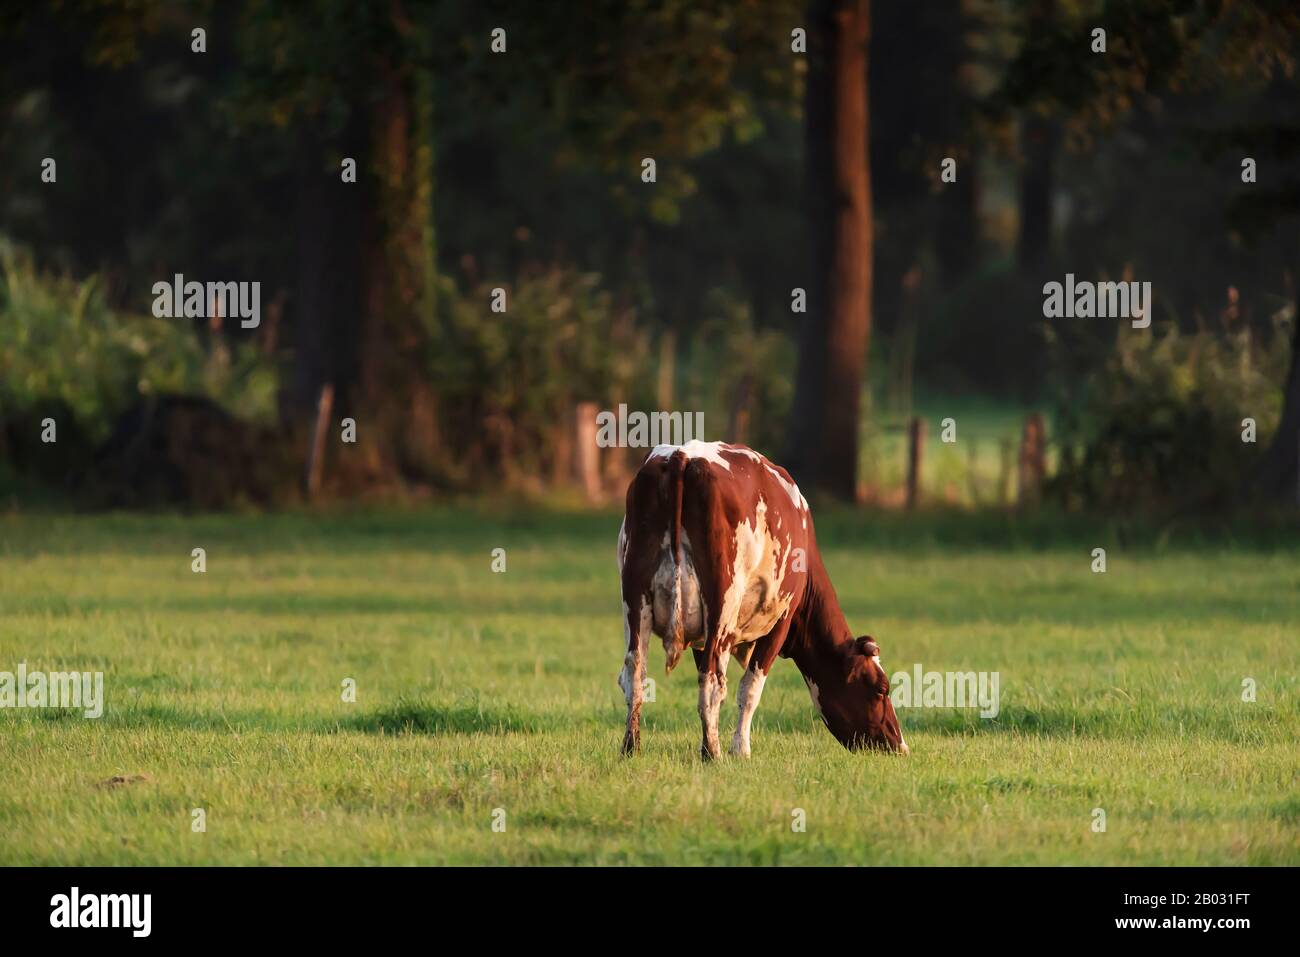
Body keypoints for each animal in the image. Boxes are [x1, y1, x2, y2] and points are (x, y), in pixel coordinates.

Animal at [617, 440, 908, 760]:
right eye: (881, 689)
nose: (899, 745)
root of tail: (683, 456)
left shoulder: (701, 638)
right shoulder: (781, 620)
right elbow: (750, 688)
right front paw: (740, 749)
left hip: (635, 601)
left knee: (635, 672)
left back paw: (631, 748)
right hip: (722, 605)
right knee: (712, 682)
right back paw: (712, 754)